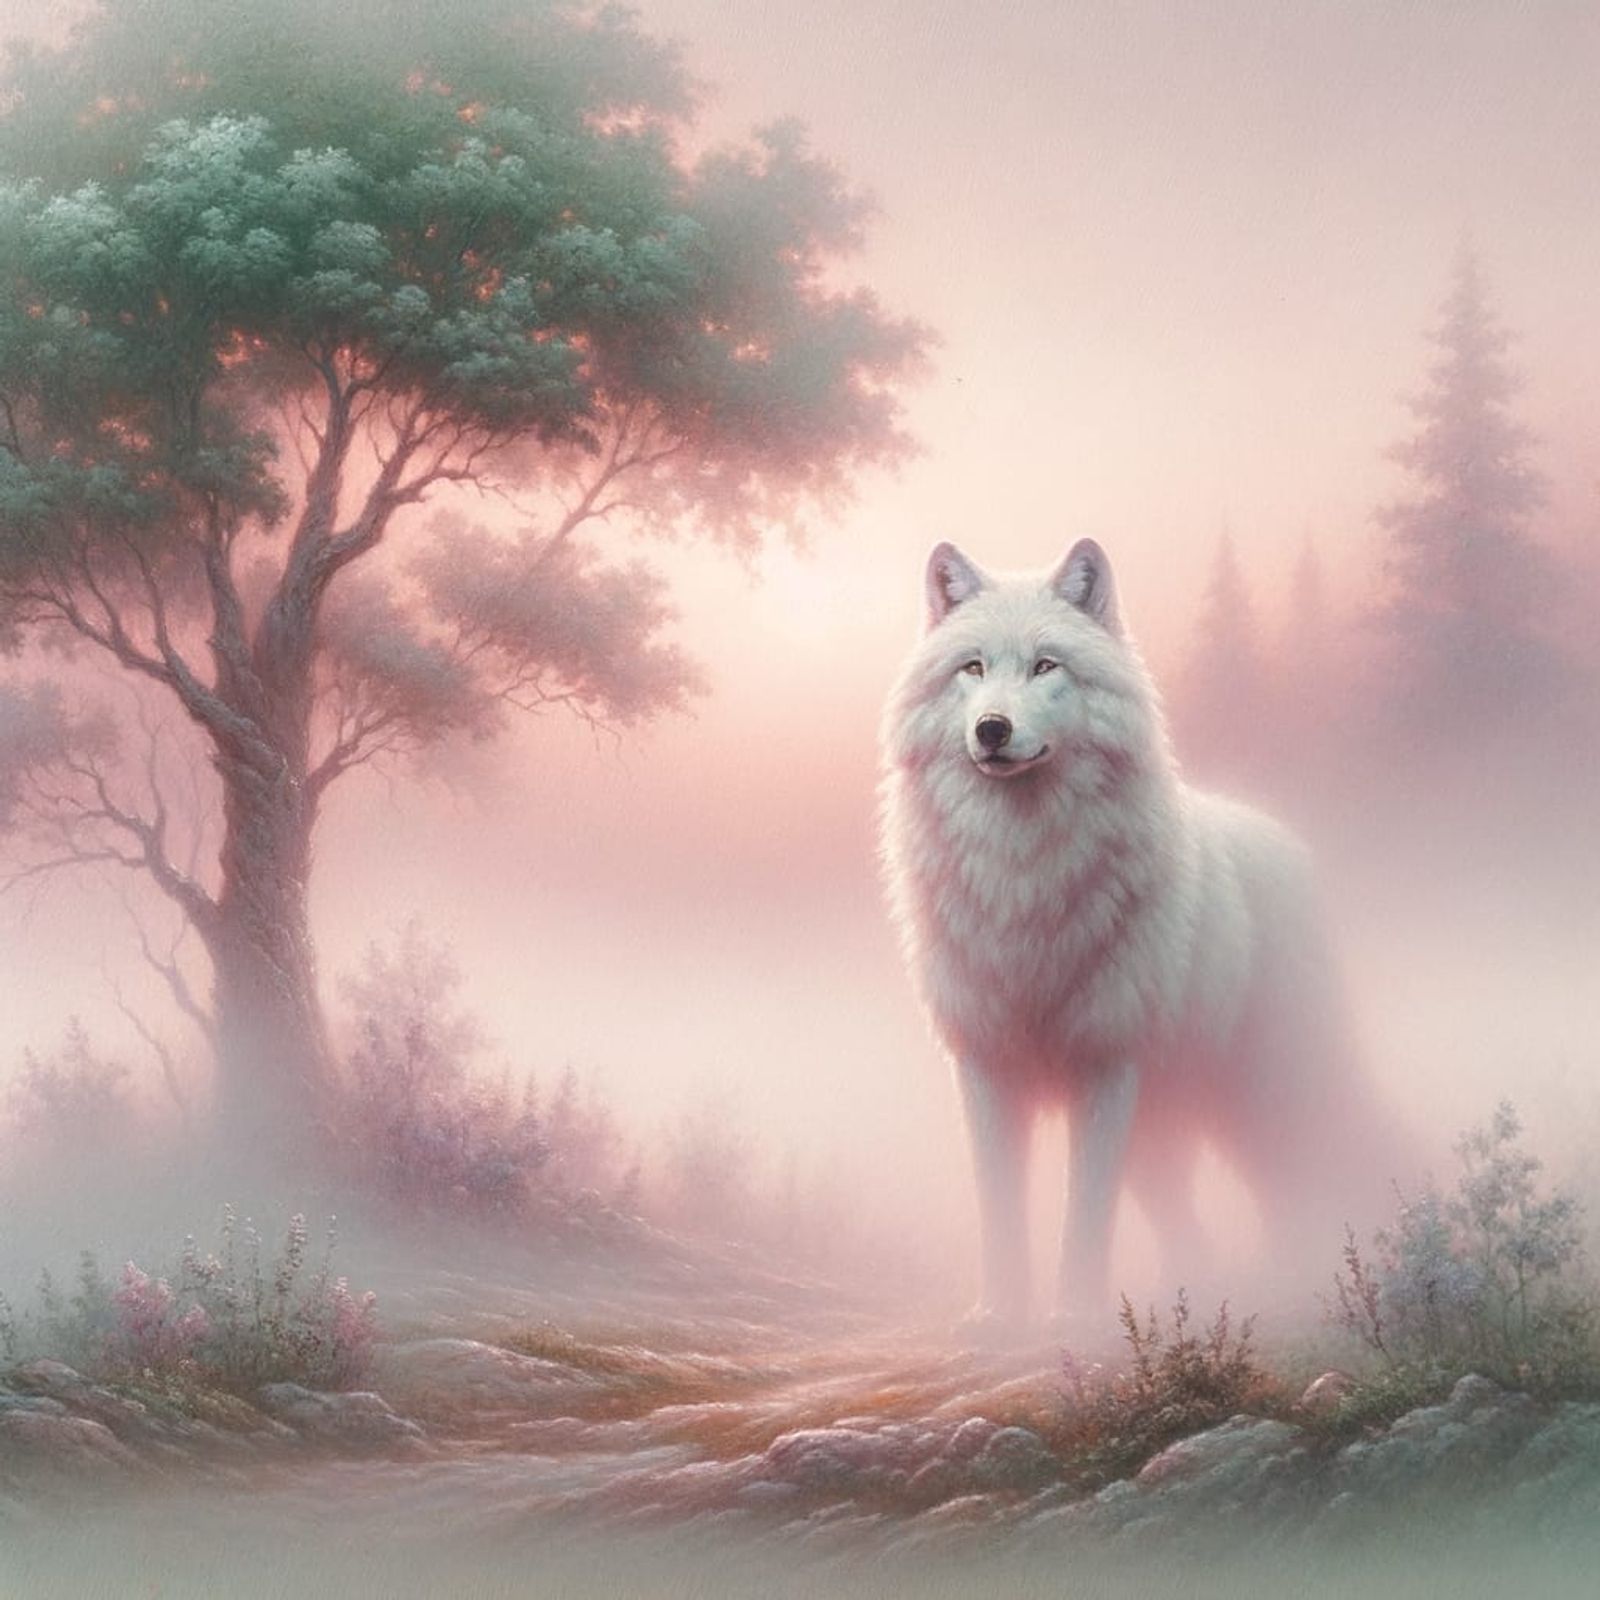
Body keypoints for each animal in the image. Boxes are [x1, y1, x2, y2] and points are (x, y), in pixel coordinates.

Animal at [878, 538, 1390, 1329]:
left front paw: (1075, 1320)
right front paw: (999, 1316)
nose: (992, 729)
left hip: (1268, 1086)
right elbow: (1000, 1208)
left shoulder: (1106, 1062)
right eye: (972, 668)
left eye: (1045, 666)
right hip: (1172, 1122)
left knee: (1313, 1169)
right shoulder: (985, 1064)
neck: (1022, 872)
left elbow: (1086, 1212)